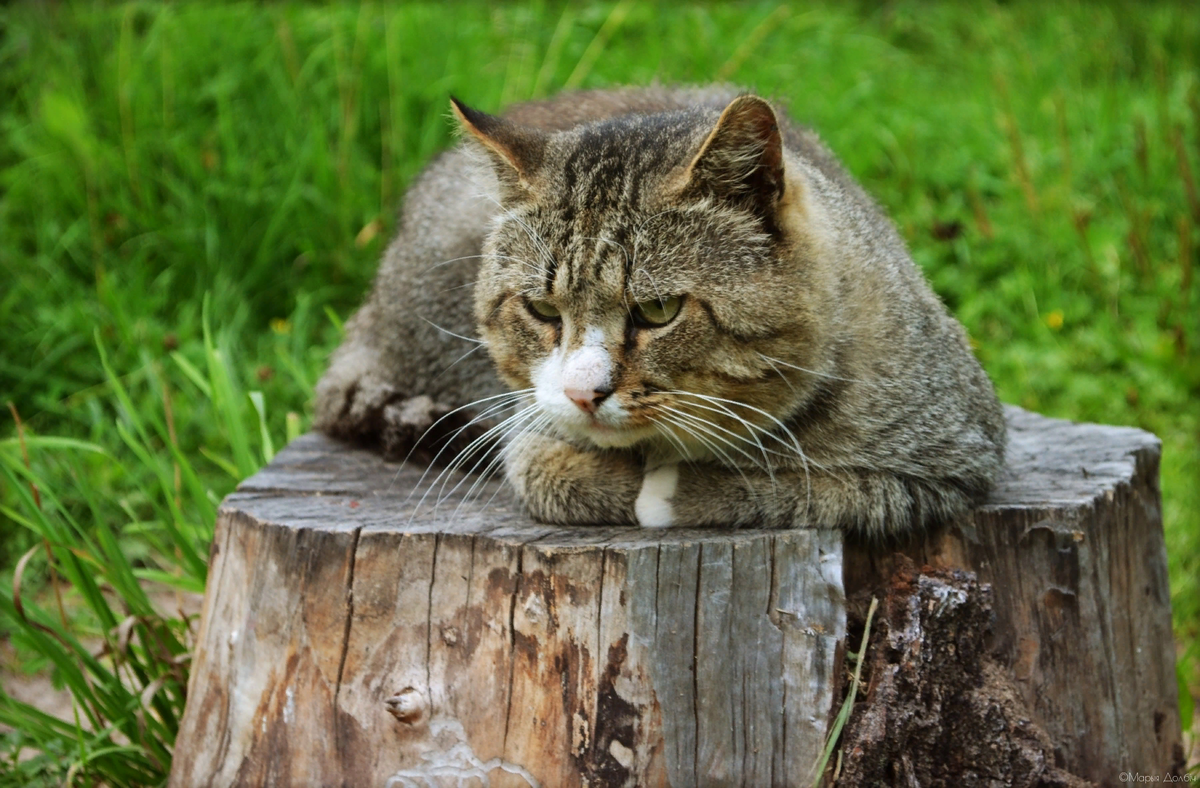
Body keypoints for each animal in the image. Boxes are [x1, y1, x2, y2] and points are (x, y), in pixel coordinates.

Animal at [309, 84, 1003, 534]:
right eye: (541, 310)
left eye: (659, 311)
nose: (582, 393)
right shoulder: (525, 419)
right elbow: (534, 465)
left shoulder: (952, 465)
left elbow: (816, 486)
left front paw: (675, 488)